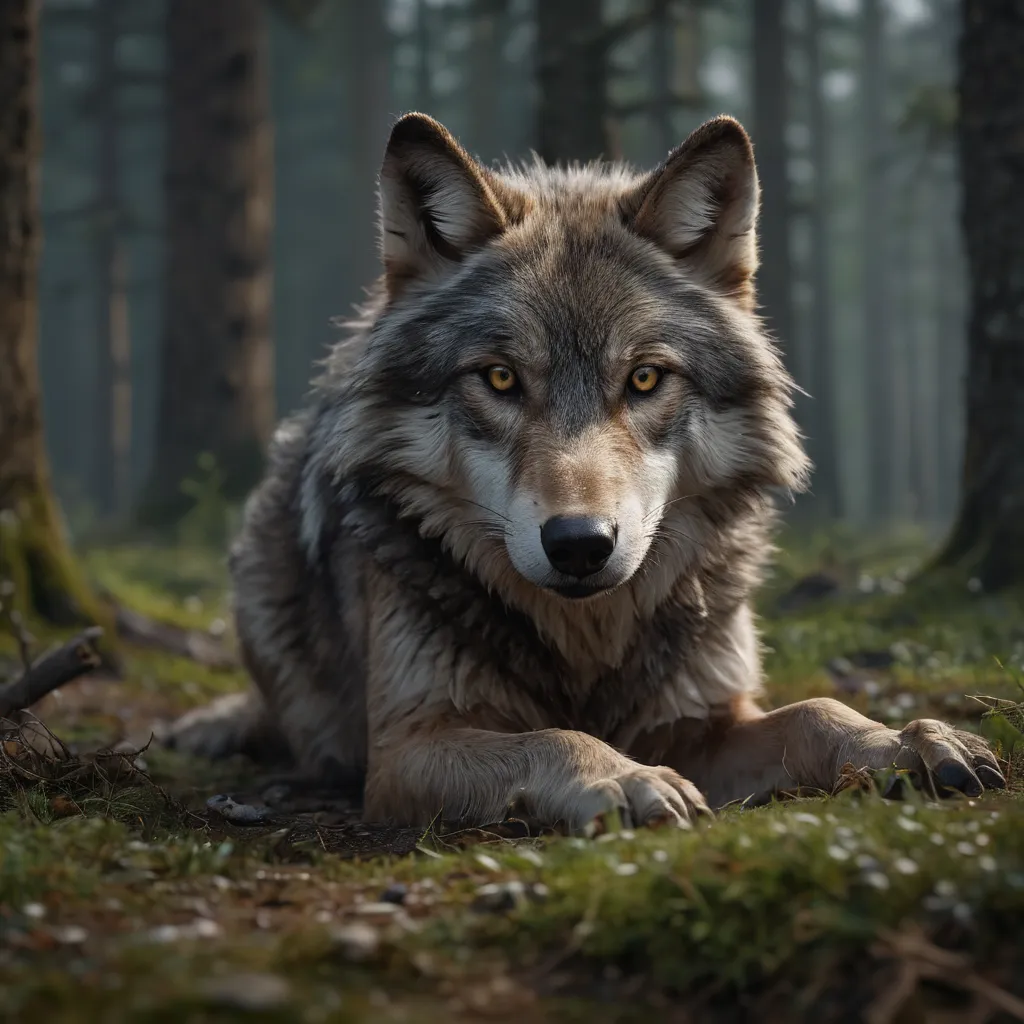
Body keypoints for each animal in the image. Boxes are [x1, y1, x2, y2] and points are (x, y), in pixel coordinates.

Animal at [167, 113, 1004, 831]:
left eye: (644, 379)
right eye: (500, 379)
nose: (579, 543)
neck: (586, 641)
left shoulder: (704, 718)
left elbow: (815, 712)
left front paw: (903, 741)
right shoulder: (407, 749)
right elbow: (553, 737)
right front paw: (622, 777)